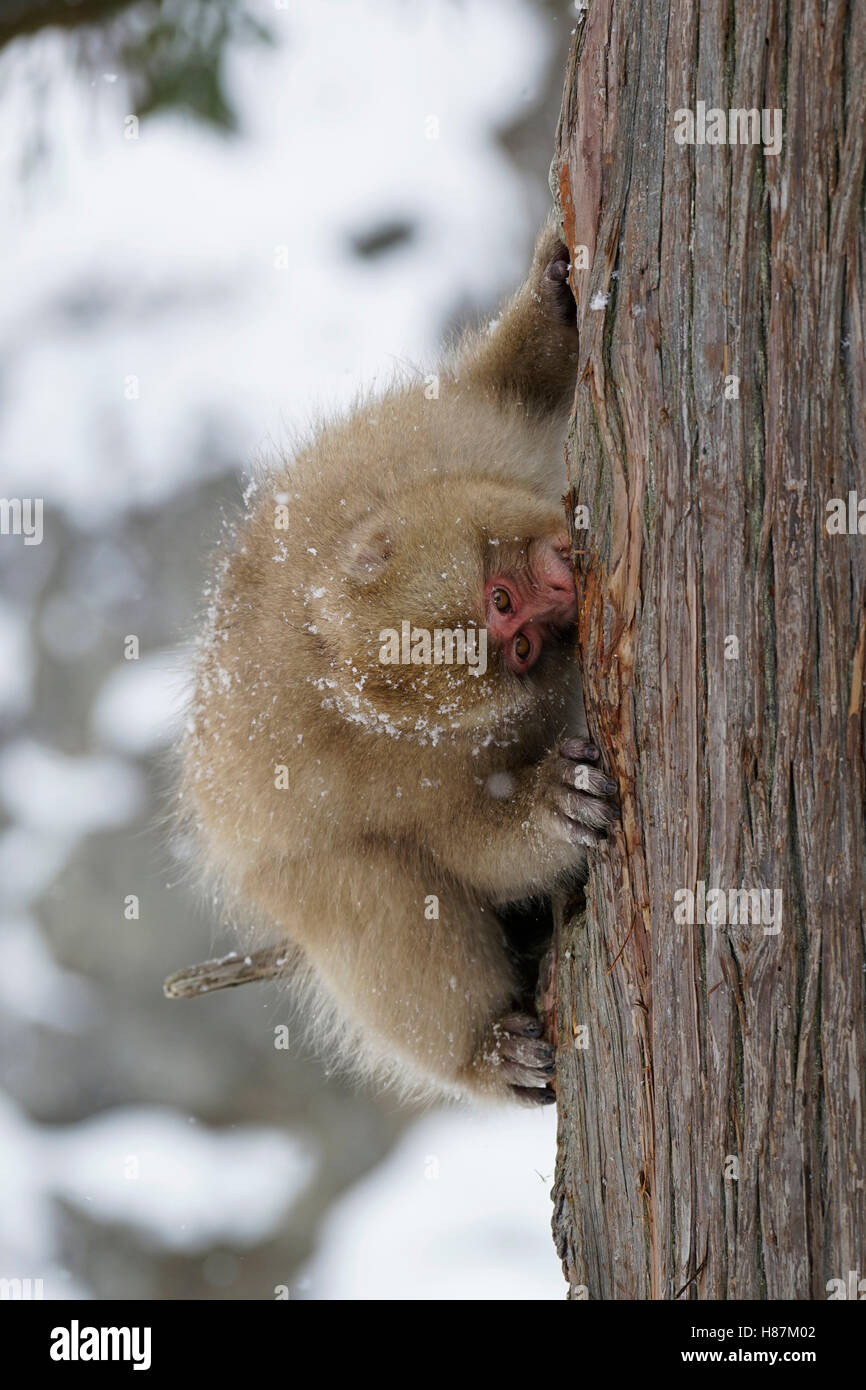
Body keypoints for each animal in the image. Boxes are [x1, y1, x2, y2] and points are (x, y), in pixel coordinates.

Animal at [179, 219, 618, 1106]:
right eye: (514, 629)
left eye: (503, 597)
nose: (561, 586)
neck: (321, 629)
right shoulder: (415, 767)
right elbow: (472, 847)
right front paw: (556, 803)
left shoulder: (408, 449)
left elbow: (505, 389)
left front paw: (552, 296)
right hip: (292, 885)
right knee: (378, 903)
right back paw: (486, 1051)